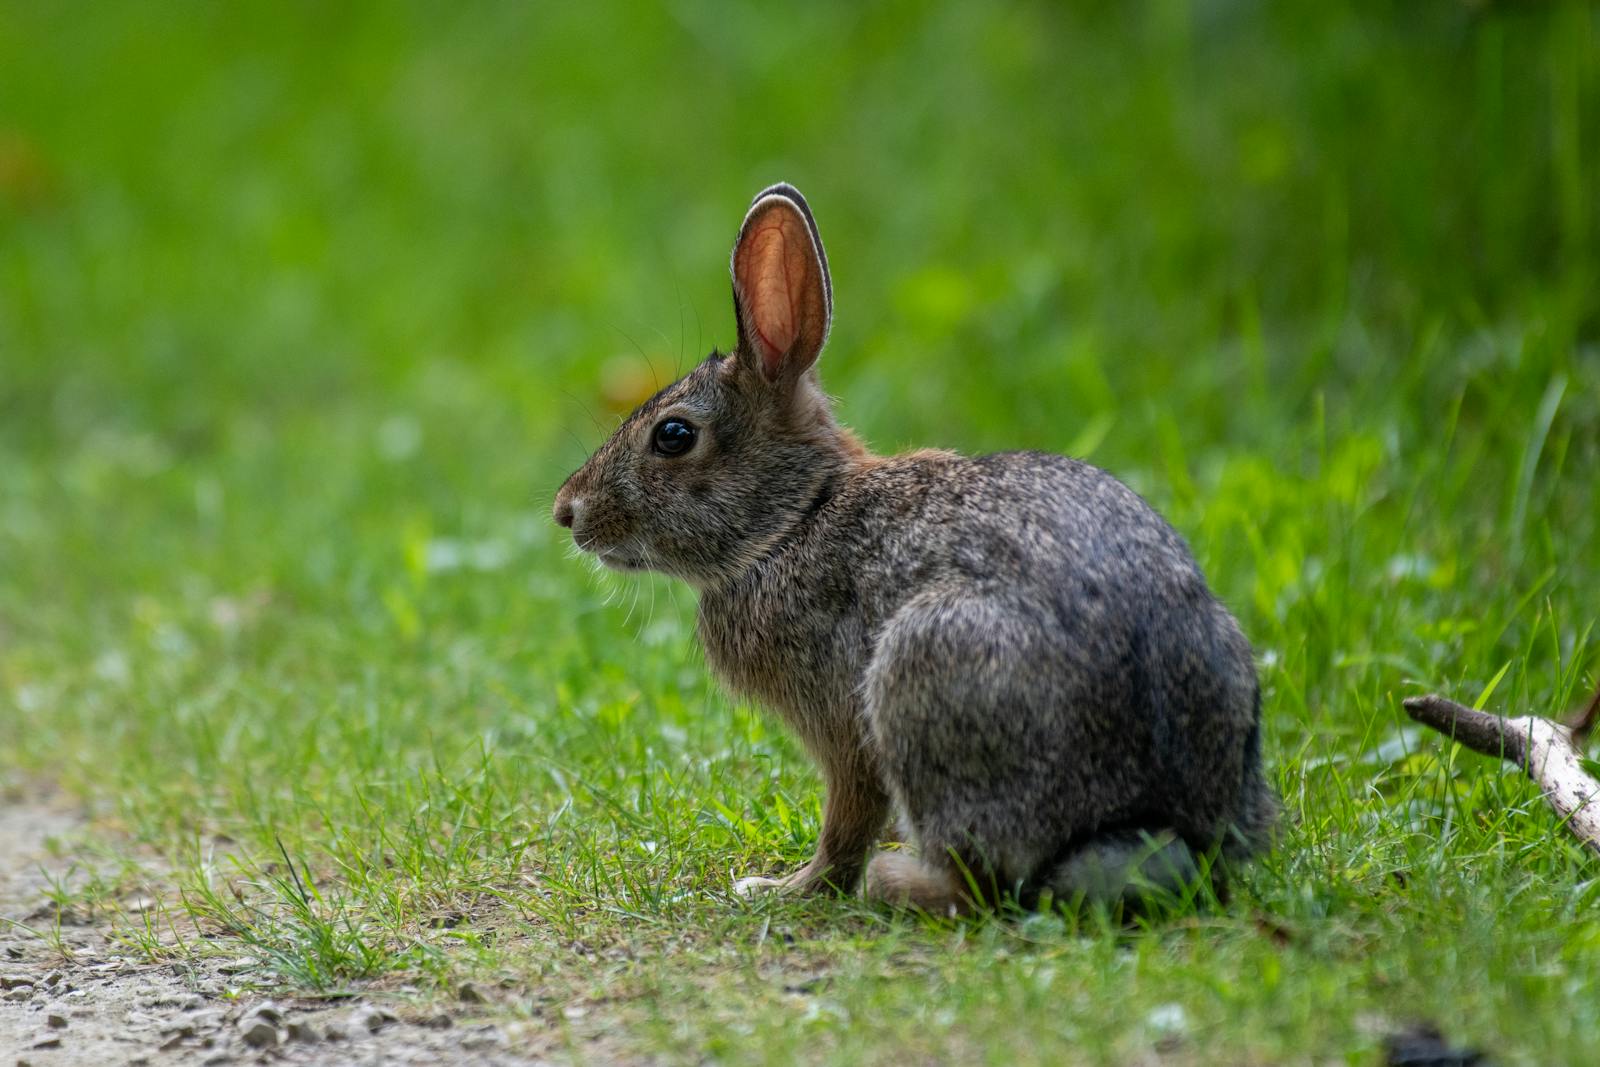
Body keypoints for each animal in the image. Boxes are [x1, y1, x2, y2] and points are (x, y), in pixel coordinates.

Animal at [553, 183, 1276, 913]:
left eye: (673, 436)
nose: (567, 511)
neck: (796, 519)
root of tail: (1158, 829)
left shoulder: (846, 727)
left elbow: (846, 821)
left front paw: (785, 889)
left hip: (925, 669)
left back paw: (893, 879)